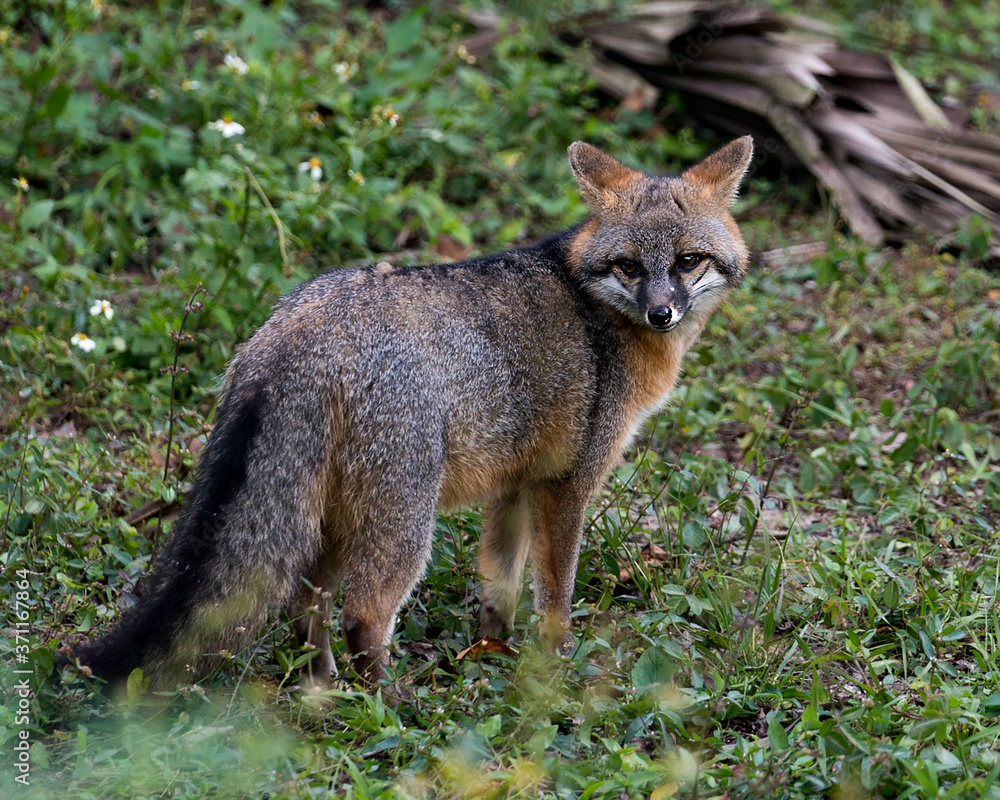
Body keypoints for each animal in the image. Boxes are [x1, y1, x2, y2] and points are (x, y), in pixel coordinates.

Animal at [65, 136, 754, 690]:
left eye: (687, 260)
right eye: (629, 266)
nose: (661, 312)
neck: (596, 310)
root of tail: (300, 330)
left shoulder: (515, 483)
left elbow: (498, 587)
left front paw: (492, 652)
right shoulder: (568, 484)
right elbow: (554, 594)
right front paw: (555, 664)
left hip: (331, 520)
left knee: (305, 608)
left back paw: (323, 691)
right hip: (403, 520)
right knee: (362, 614)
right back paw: (388, 701)